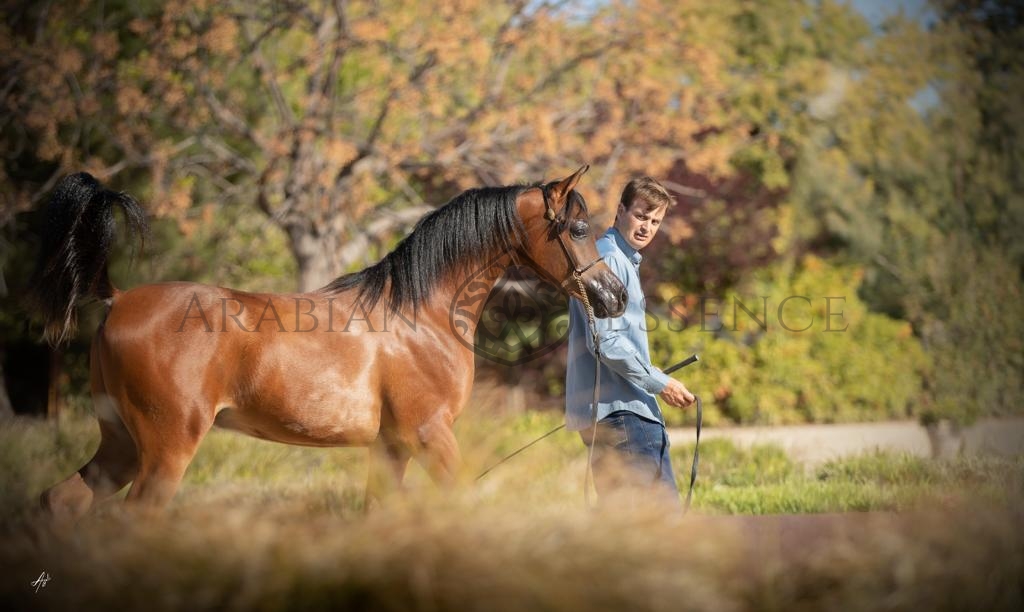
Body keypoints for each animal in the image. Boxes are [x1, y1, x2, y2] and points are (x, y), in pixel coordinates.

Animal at [28, 165, 627, 522]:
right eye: (577, 229)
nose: (614, 295)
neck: (419, 314)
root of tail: (119, 299)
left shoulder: (391, 446)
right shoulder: (430, 435)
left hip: (120, 445)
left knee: (57, 500)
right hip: (164, 449)